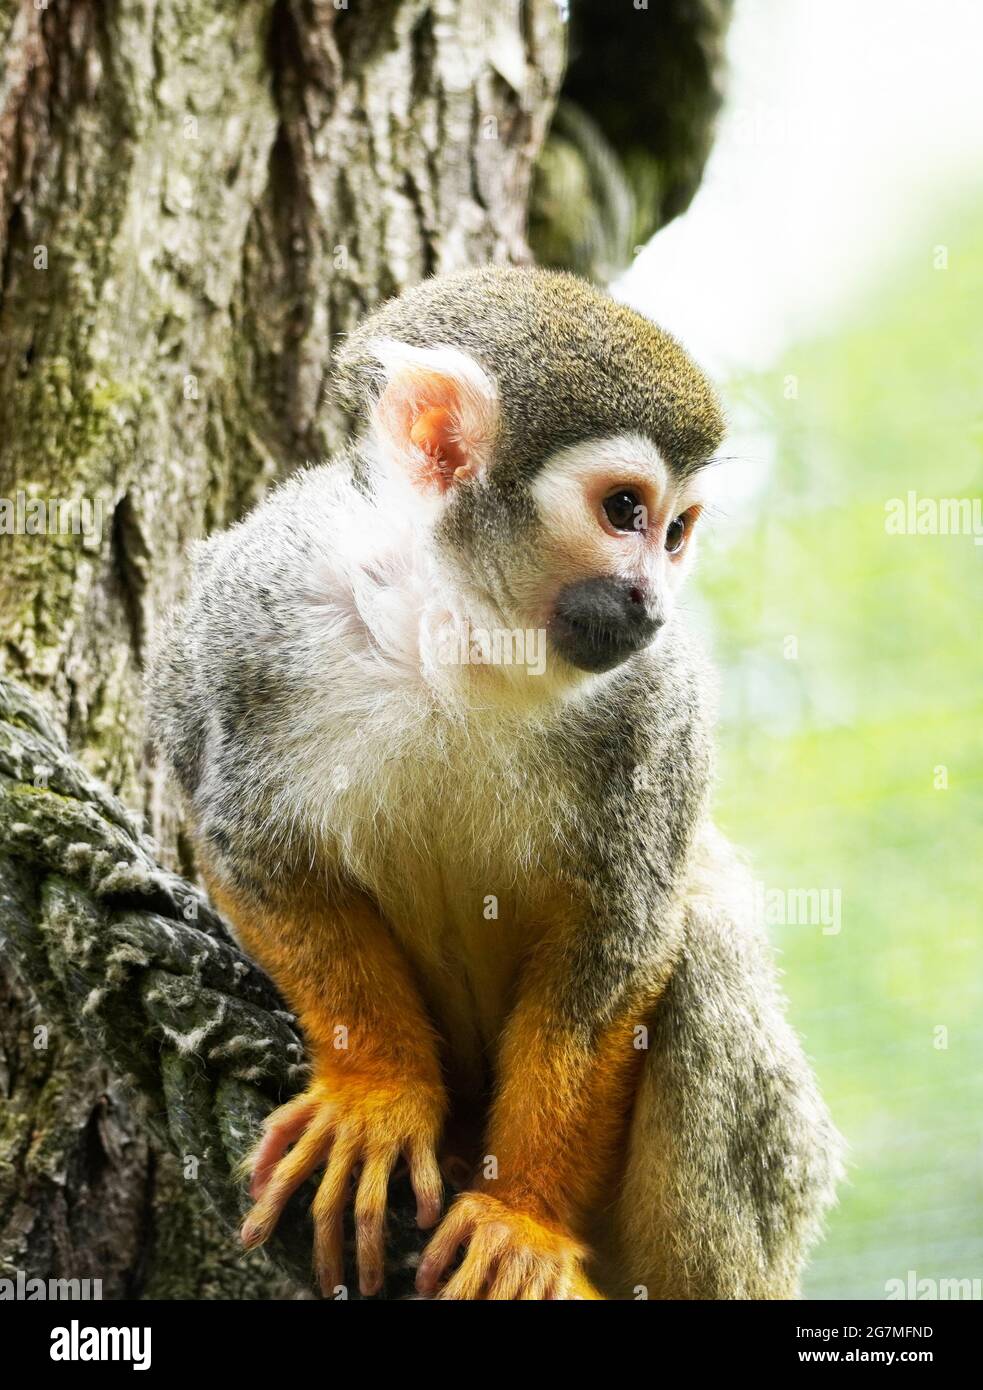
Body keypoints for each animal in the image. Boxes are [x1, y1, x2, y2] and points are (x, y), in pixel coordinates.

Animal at [148, 266, 843, 1300]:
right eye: (625, 511)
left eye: (676, 533)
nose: (652, 601)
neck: (465, 637)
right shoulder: (247, 616)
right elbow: (245, 841)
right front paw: (377, 1094)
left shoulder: (660, 703)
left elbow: (617, 937)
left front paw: (521, 1220)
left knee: (708, 946)